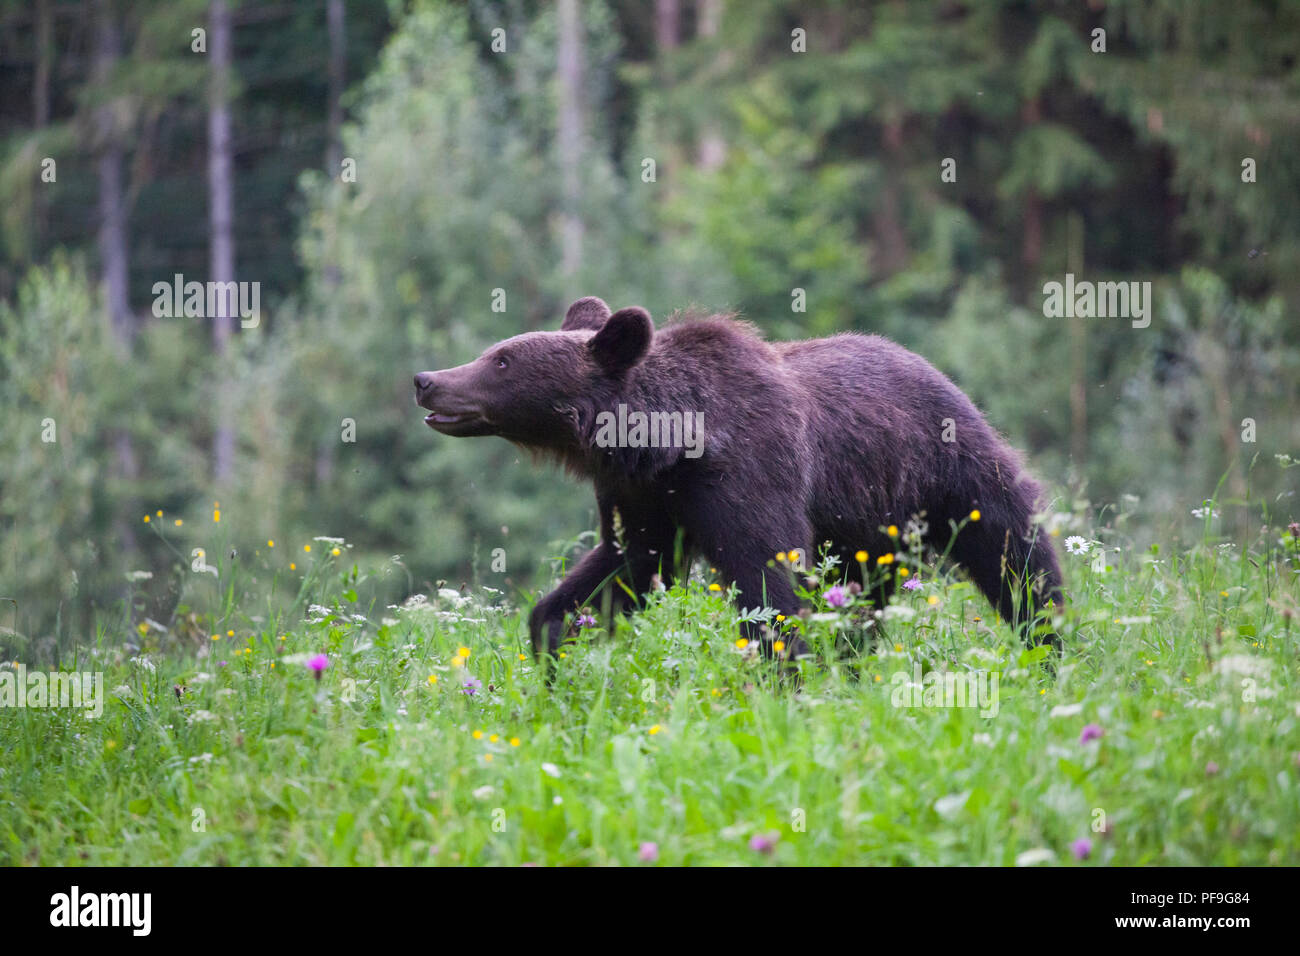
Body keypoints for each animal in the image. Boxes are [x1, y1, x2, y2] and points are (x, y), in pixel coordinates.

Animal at [414, 296, 1063, 662]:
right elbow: (622, 566)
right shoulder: (645, 499)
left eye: (501, 360)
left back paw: (1050, 648)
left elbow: (769, 586)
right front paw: (556, 640)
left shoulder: (749, 475)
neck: (669, 445)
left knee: (1019, 561)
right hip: (871, 531)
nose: (427, 379)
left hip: (953, 475)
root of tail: (942, 373)